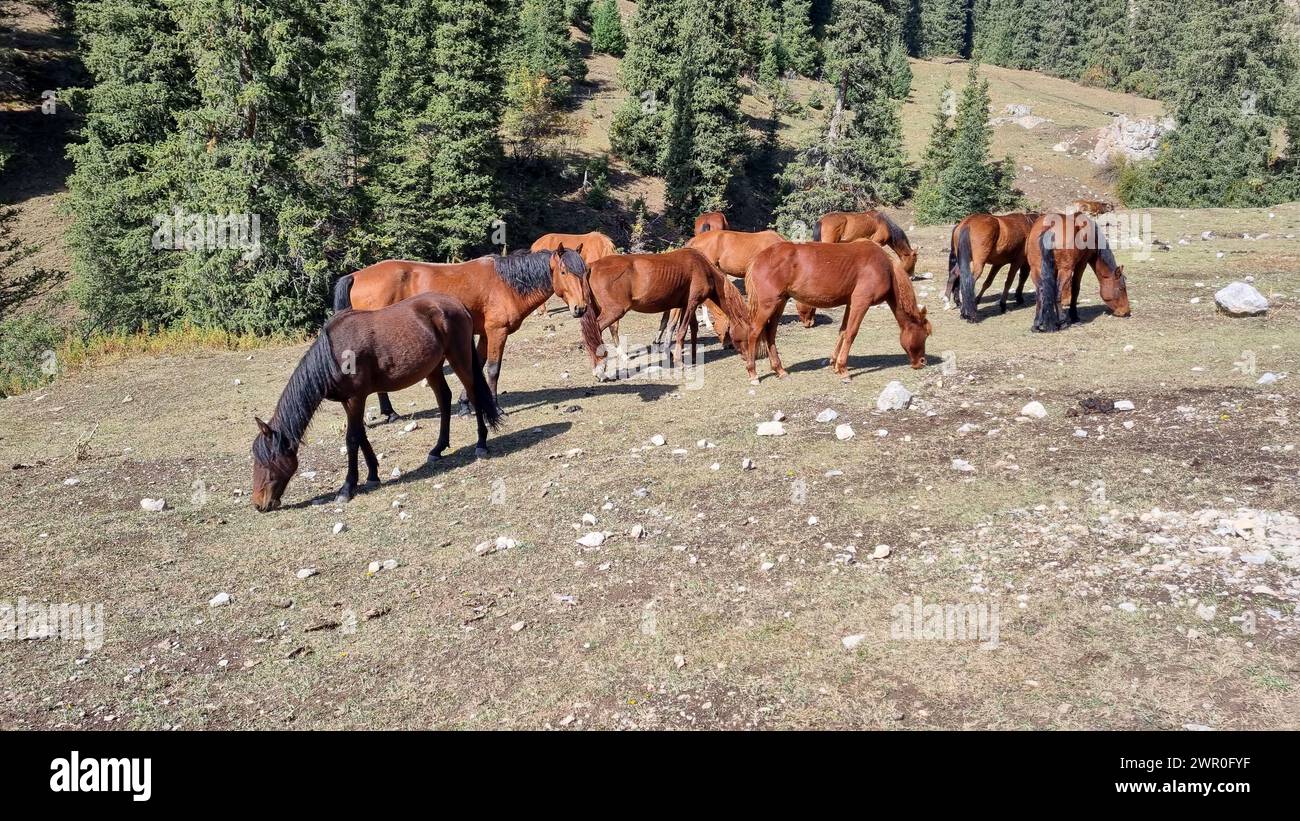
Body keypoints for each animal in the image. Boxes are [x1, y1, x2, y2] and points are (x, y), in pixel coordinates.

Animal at [251, 292, 502, 511]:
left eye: (267, 461)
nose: (259, 504)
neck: (334, 355)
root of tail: (457, 304)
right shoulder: (349, 401)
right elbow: (361, 436)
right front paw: (372, 475)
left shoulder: (355, 398)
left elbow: (352, 439)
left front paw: (346, 488)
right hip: (433, 368)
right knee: (444, 398)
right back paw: (438, 449)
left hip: (460, 359)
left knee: (472, 394)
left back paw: (481, 444)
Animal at [333, 247, 588, 420]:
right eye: (564, 271)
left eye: (585, 272)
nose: (581, 308)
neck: (506, 284)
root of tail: (356, 275)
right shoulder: (497, 332)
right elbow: (493, 370)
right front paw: (496, 408)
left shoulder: (484, 334)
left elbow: (476, 366)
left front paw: (466, 405)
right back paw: (390, 412)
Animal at [579, 248, 753, 378]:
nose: (729, 345)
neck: (702, 267)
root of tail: (592, 266)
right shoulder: (691, 304)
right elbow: (681, 331)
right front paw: (679, 362)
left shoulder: (686, 305)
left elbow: (692, 329)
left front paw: (693, 356)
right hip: (613, 312)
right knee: (594, 333)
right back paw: (599, 370)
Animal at [744, 241, 932, 383]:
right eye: (925, 334)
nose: (922, 362)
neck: (885, 268)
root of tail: (758, 259)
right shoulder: (861, 303)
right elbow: (851, 333)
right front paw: (843, 370)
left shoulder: (850, 304)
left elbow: (843, 331)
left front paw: (834, 364)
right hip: (768, 305)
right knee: (754, 332)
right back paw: (753, 373)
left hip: (780, 303)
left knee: (770, 333)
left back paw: (779, 370)